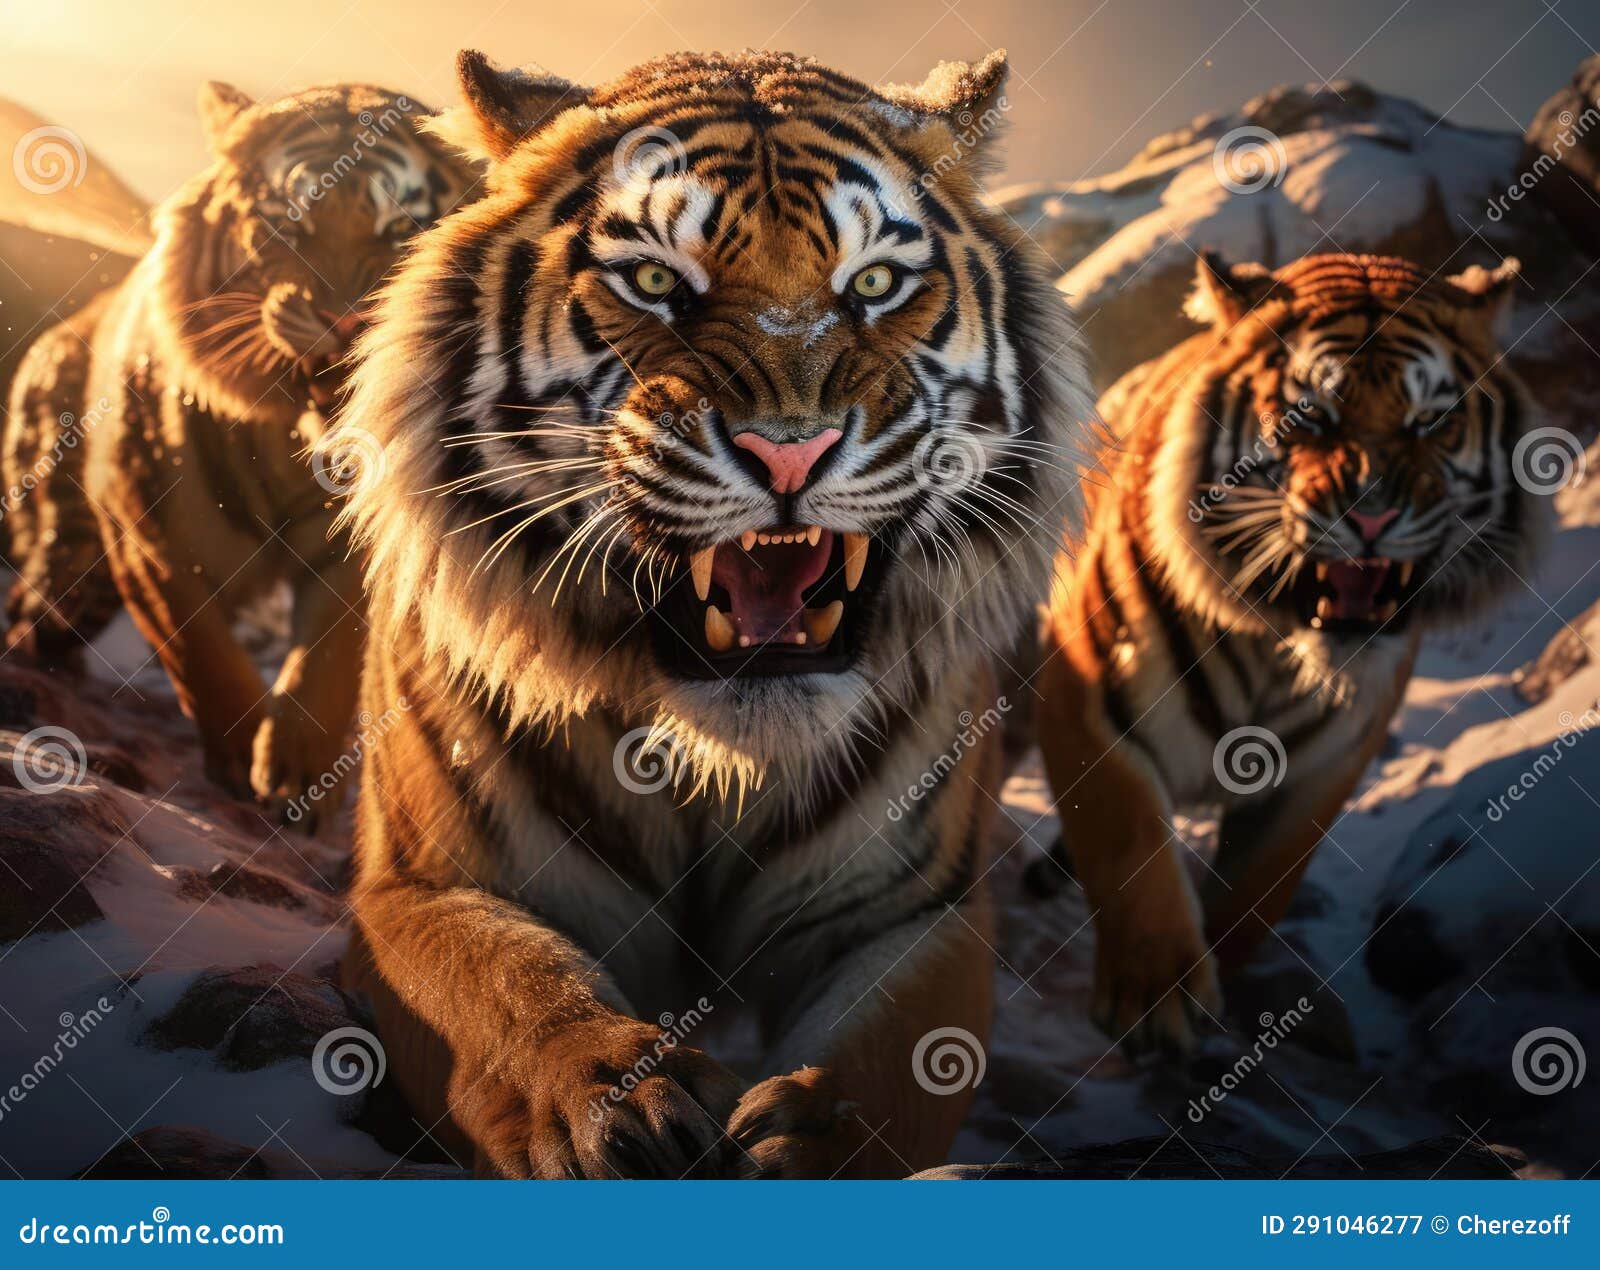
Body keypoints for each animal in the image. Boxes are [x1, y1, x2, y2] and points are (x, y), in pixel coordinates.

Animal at [1, 80, 476, 826]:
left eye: (399, 229)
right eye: (290, 226)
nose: (343, 319)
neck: (294, 446)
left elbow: (328, 658)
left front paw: (300, 772)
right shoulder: (149, 534)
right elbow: (201, 654)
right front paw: (237, 758)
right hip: (71, 543)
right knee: (42, 601)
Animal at [328, 47, 1091, 1177]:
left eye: (874, 284)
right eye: (654, 282)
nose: (790, 450)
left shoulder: (918, 913)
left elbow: (883, 1067)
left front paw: (797, 1140)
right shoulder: (417, 886)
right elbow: (510, 991)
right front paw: (618, 1101)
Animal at [1031, 251, 1546, 1057]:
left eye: (1431, 421)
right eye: (1311, 417)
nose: (1372, 515)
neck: (1280, 646)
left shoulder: (1327, 765)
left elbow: (1255, 894)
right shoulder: (1085, 692)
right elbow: (1128, 845)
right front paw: (1156, 1006)